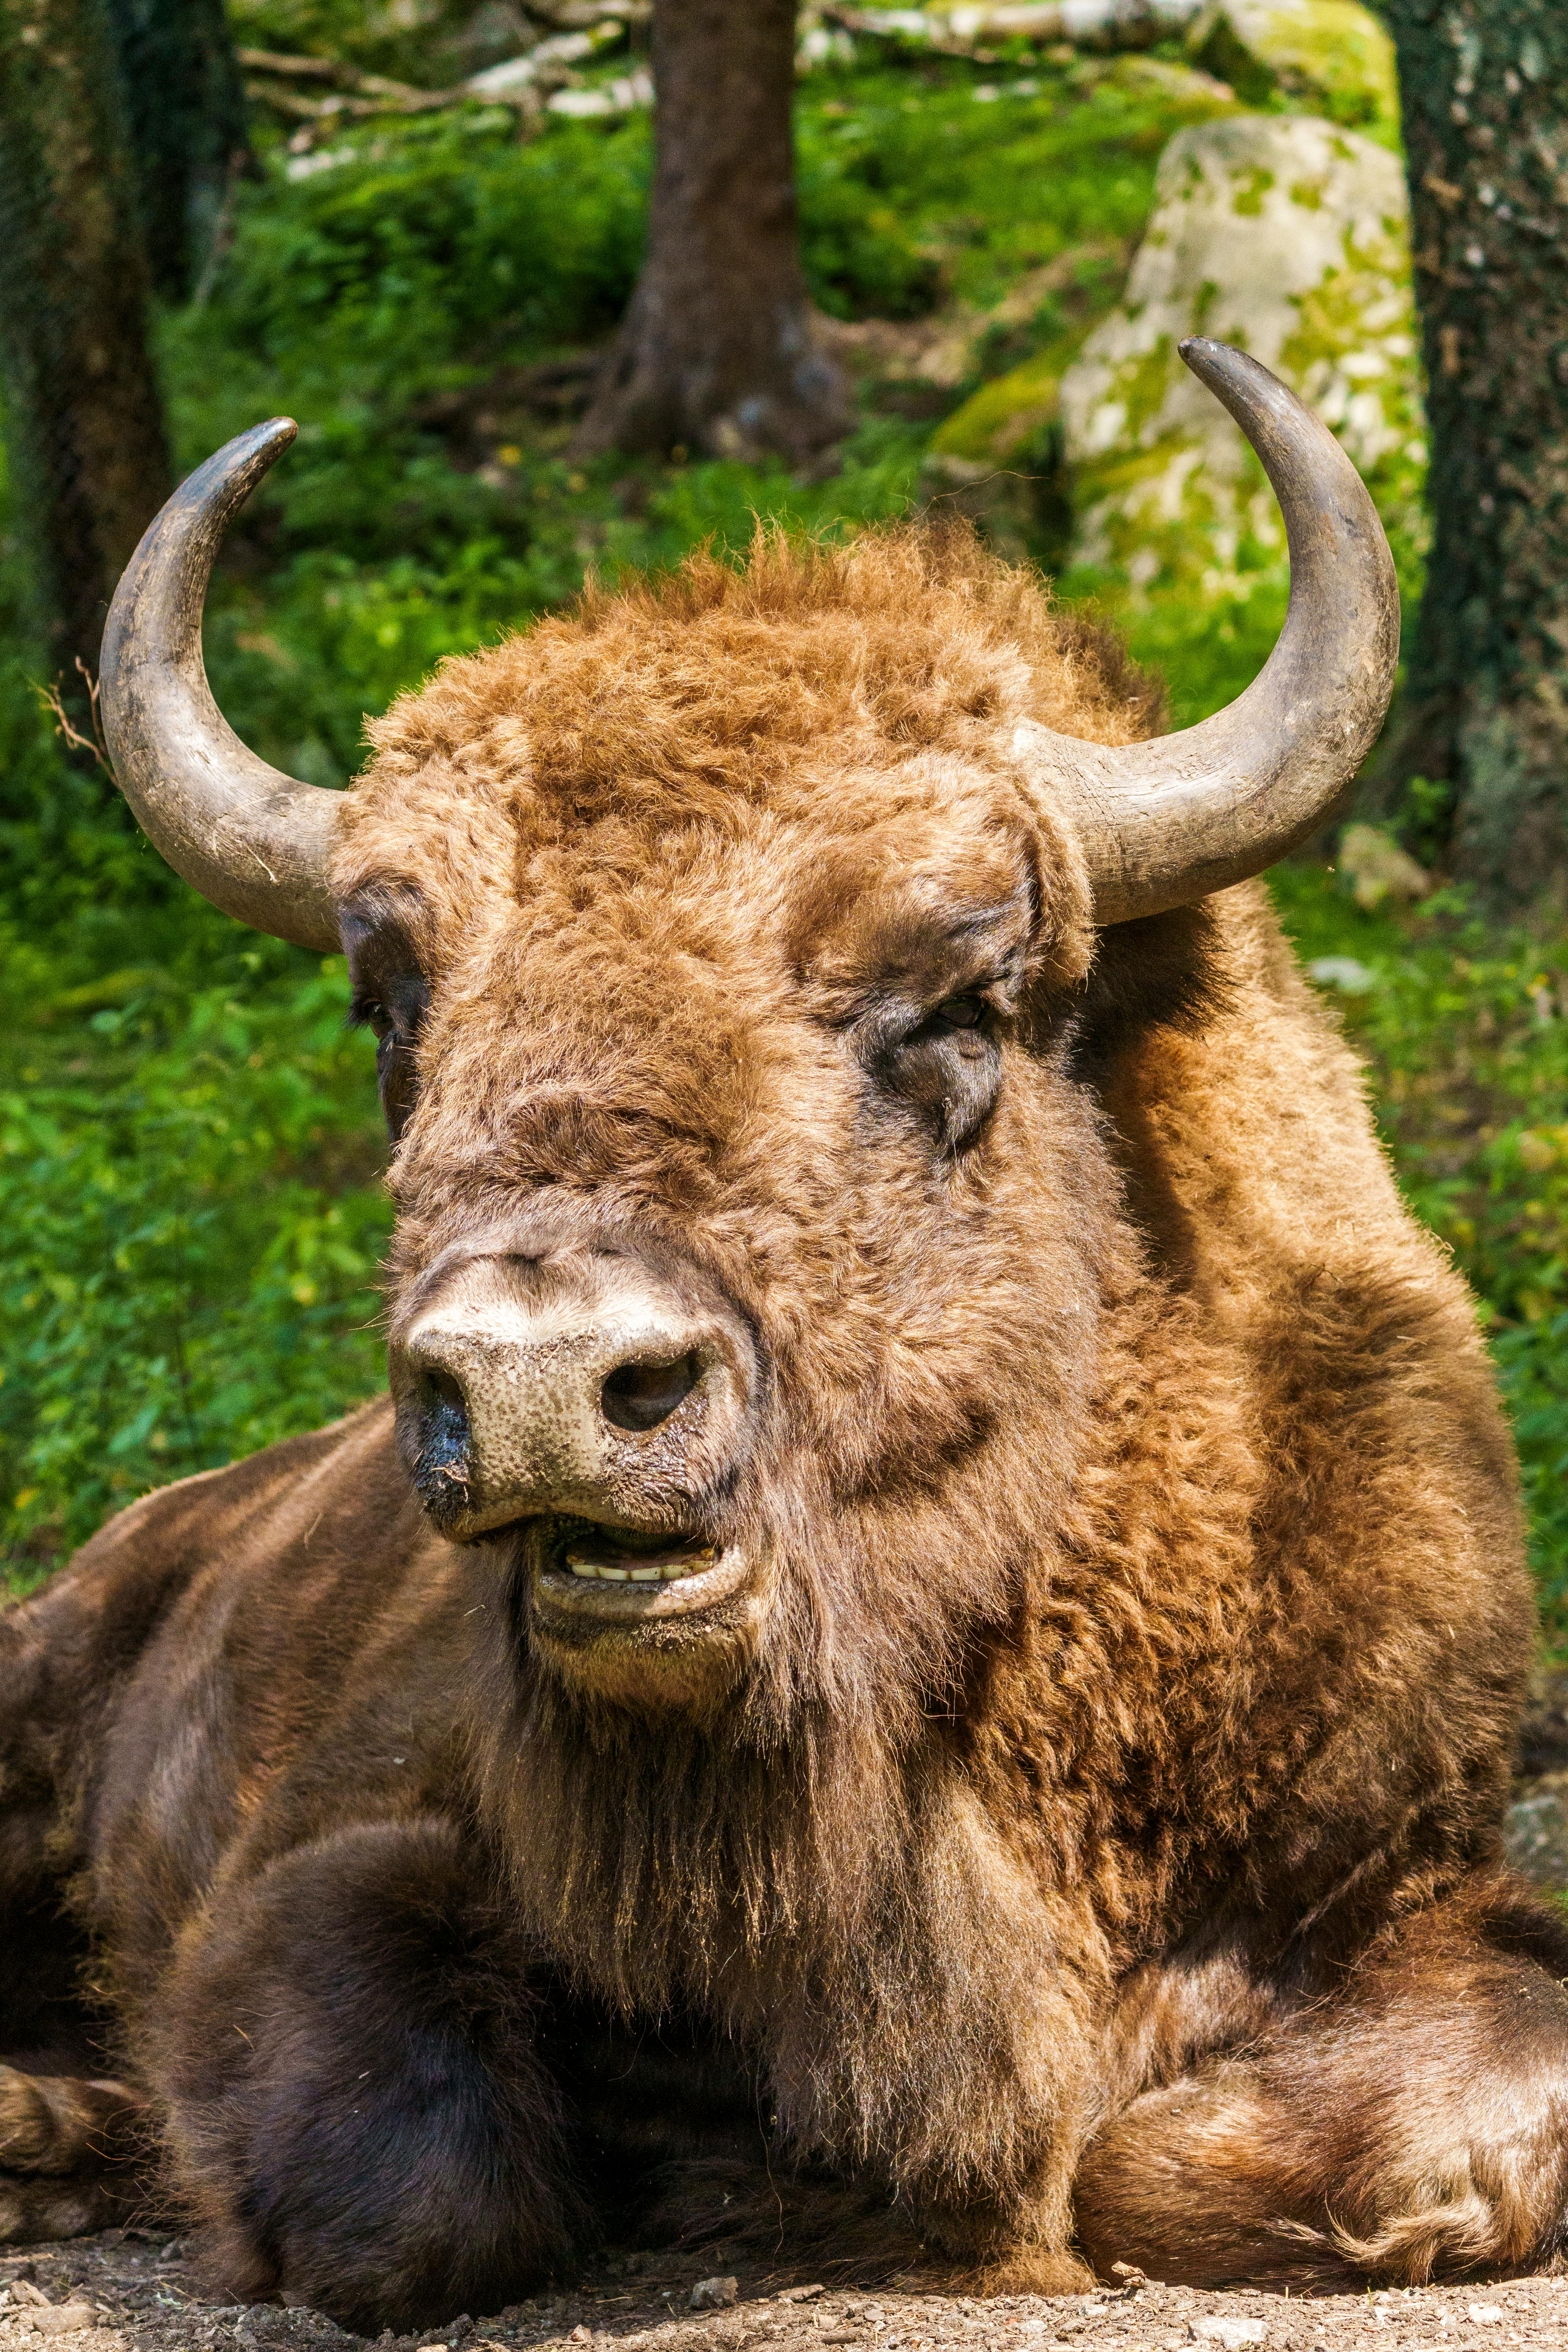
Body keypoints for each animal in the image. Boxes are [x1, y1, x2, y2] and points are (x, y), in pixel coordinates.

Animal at [3, 341, 1563, 2326]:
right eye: (390, 997)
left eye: (953, 997)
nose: (534, 1380)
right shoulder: (331, 1859)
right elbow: (411, 2180)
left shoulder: (1404, 1862)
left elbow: (1363, 2132)